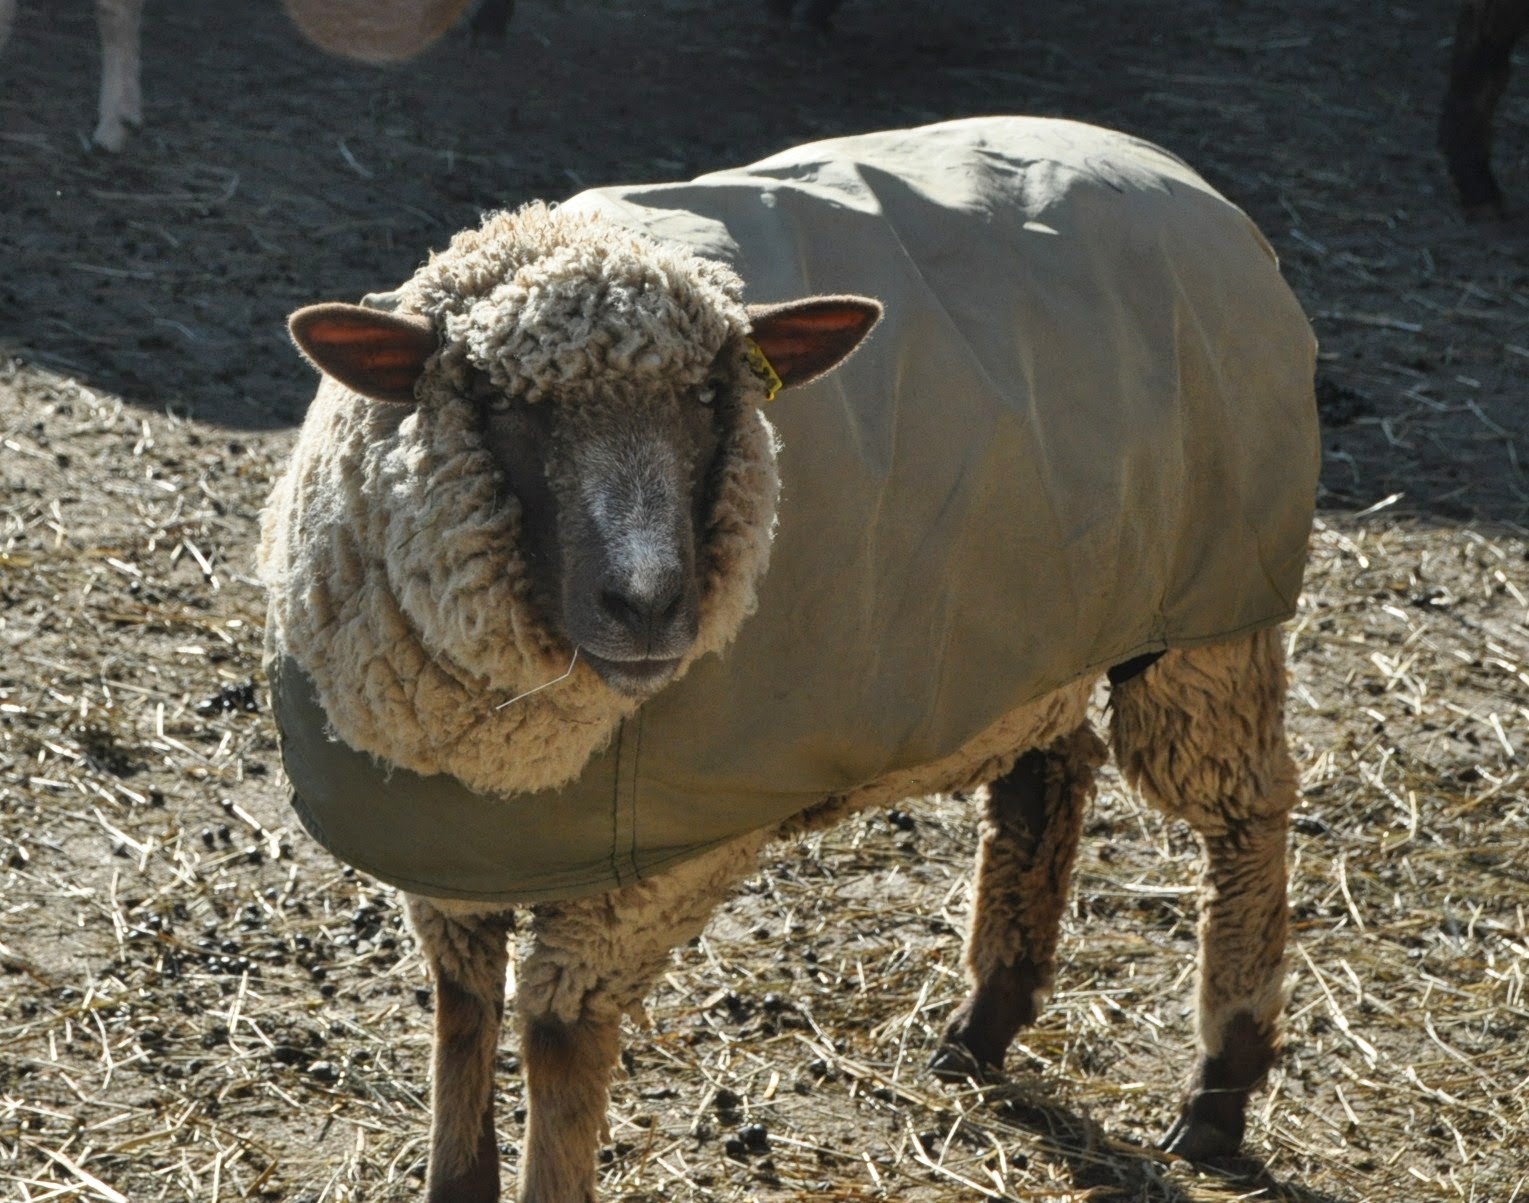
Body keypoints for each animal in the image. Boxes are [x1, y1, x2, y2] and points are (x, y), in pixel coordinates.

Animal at [260, 116, 1320, 1202]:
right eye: (501, 404)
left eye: (706, 395)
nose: (647, 603)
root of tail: (1165, 168)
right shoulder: (449, 849)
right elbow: (461, 1011)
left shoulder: (637, 883)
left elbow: (557, 1045)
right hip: (1034, 628)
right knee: (1050, 775)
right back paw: (980, 1028)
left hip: (1208, 618)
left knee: (1244, 813)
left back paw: (1215, 1097)